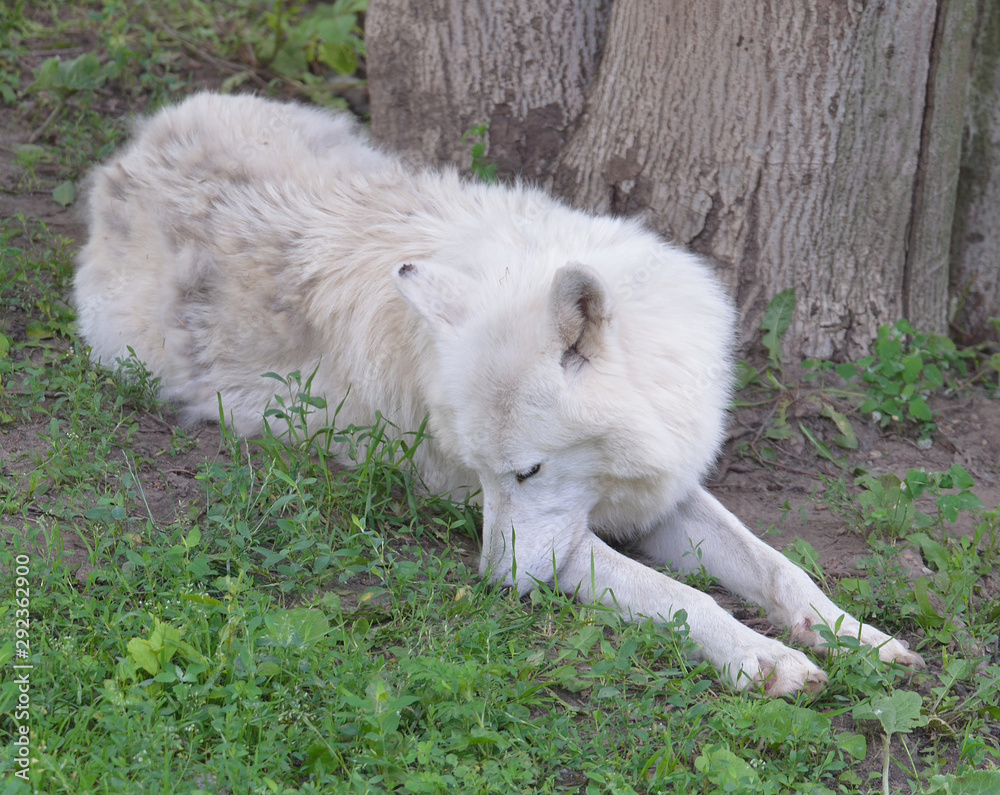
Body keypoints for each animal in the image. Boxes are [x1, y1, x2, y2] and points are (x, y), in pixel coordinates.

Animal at [74, 93, 924, 695]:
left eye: (528, 472)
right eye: (479, 475)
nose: (494, 582)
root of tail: (126, 159)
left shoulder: (663, 491)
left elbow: (778, 566)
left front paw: (856, 635)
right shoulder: (570, 541)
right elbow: (682, 596)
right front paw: (763, 659)